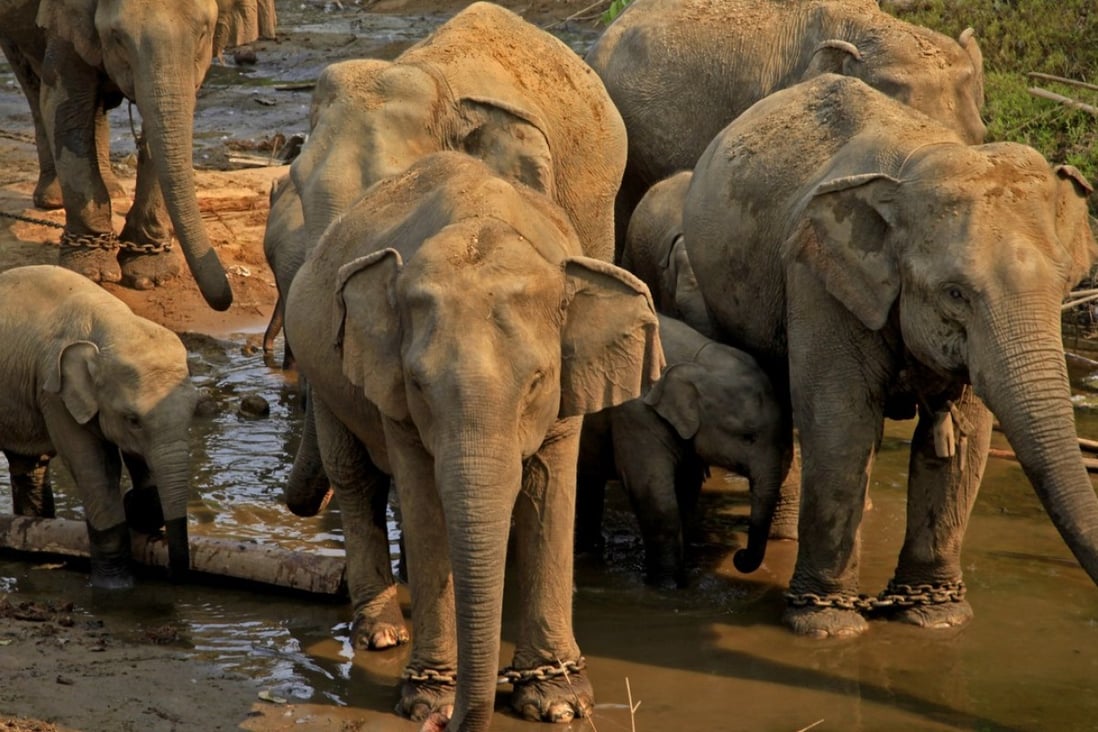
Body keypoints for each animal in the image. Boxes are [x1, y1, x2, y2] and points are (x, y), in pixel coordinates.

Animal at [0, 0, 270, 310]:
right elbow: (63, 105)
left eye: (203, 33)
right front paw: (92, 272)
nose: (226, 301)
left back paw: (114, 190)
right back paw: (51, 198)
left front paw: (150, 276)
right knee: (33, 88)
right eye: (117, 37)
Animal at [0, 264, 198, 588]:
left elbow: (139, 461)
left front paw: (136, 506)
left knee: (28, 464)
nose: (173, 574)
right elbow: (95, 470)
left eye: (194, 410)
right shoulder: (54, 392)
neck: (112, 324)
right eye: (132, 419)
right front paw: (115, 587)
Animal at [284, 151, 663, 731]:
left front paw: (558, 702)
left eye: (536, 381)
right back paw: (381, 634)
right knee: (355, 479)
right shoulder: (396, 400)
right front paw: (428, 700)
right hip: (329, 367)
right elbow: (424, 502)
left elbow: (550, 494)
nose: (445, 724)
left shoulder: (564, 403)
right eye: (417, 384)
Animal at [576, 314, 791, 589]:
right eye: (748, 437)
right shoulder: (637, 415)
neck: (699, 359)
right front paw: (667, 585)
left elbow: (687, 490)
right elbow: (653, 494)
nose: (739, 556)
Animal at [681, 73, 1098, 639]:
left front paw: (934, 617)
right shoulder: (818, 279)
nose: (745, 563)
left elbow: (965, 438)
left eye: (1063, 289)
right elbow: (842, 424)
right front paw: (827, 625)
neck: (917, 164)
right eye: (955, 293)